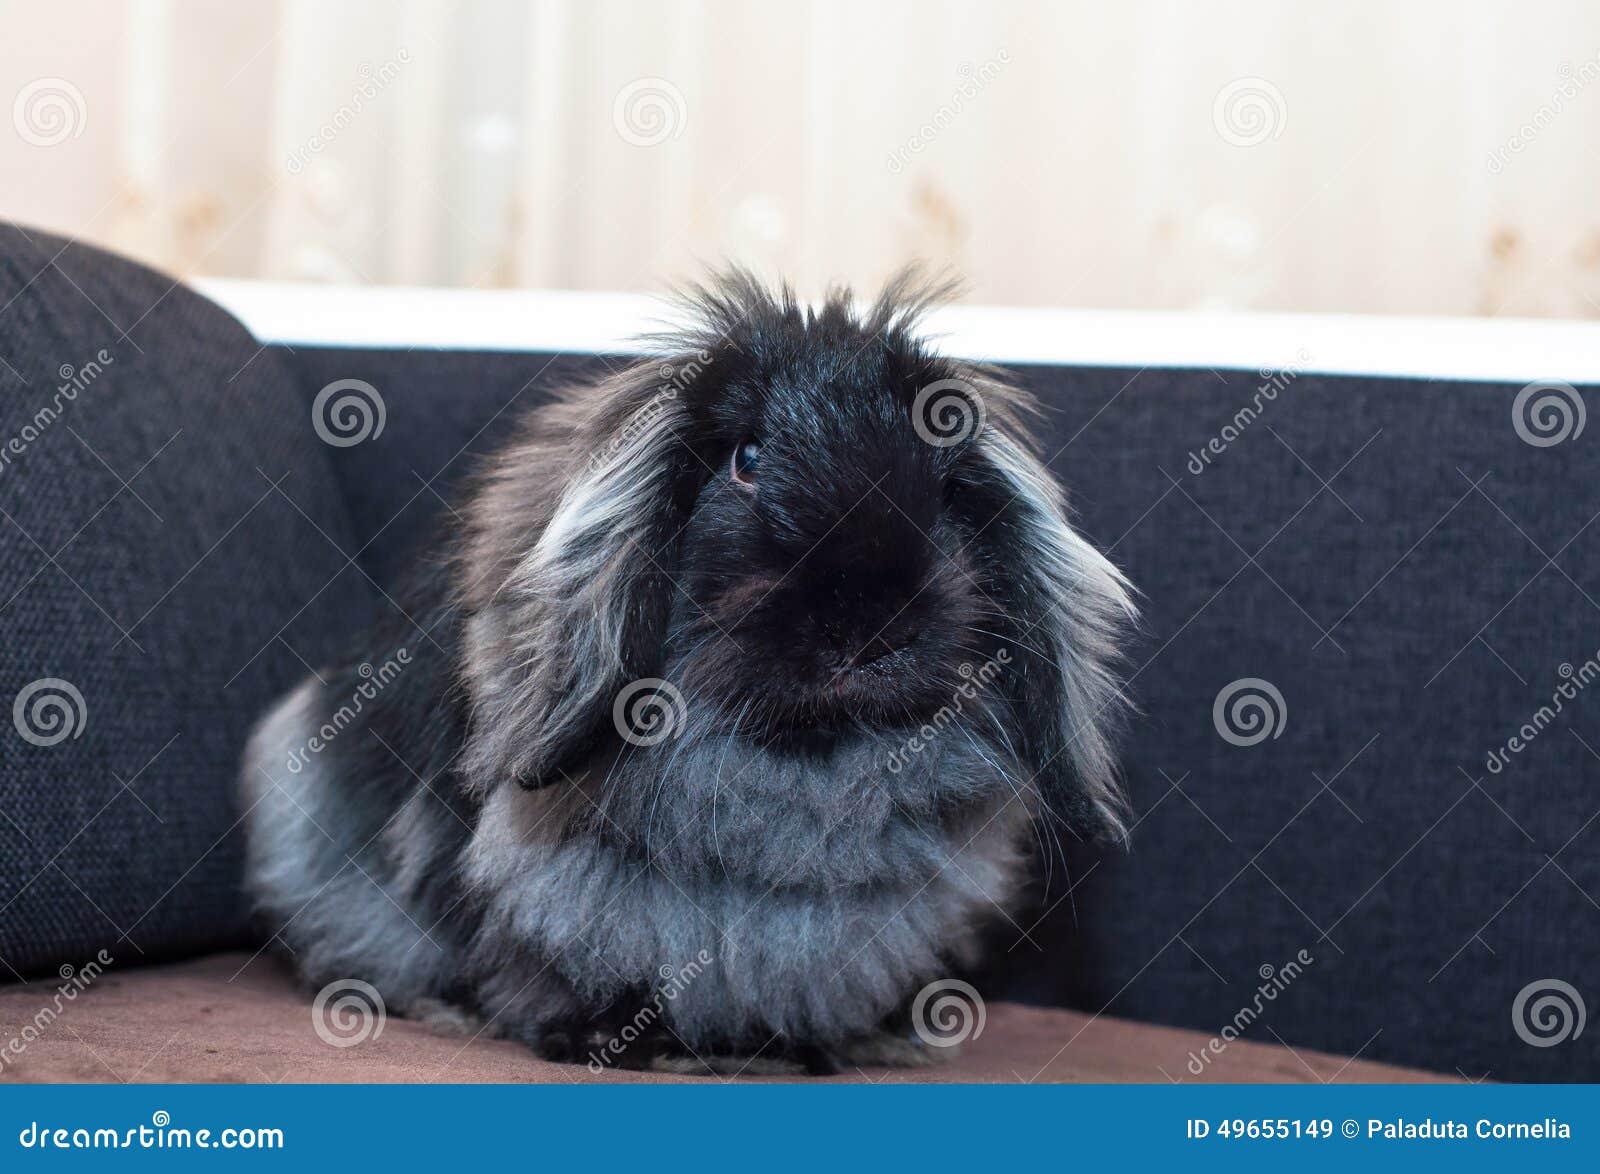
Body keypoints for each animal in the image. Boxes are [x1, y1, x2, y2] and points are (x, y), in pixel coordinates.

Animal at [239, 269, 1136, 1075]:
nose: (870, 627)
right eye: (746, 459)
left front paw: (830, 1044)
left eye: (948, 490)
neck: (802, 766)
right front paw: (618, 1041)